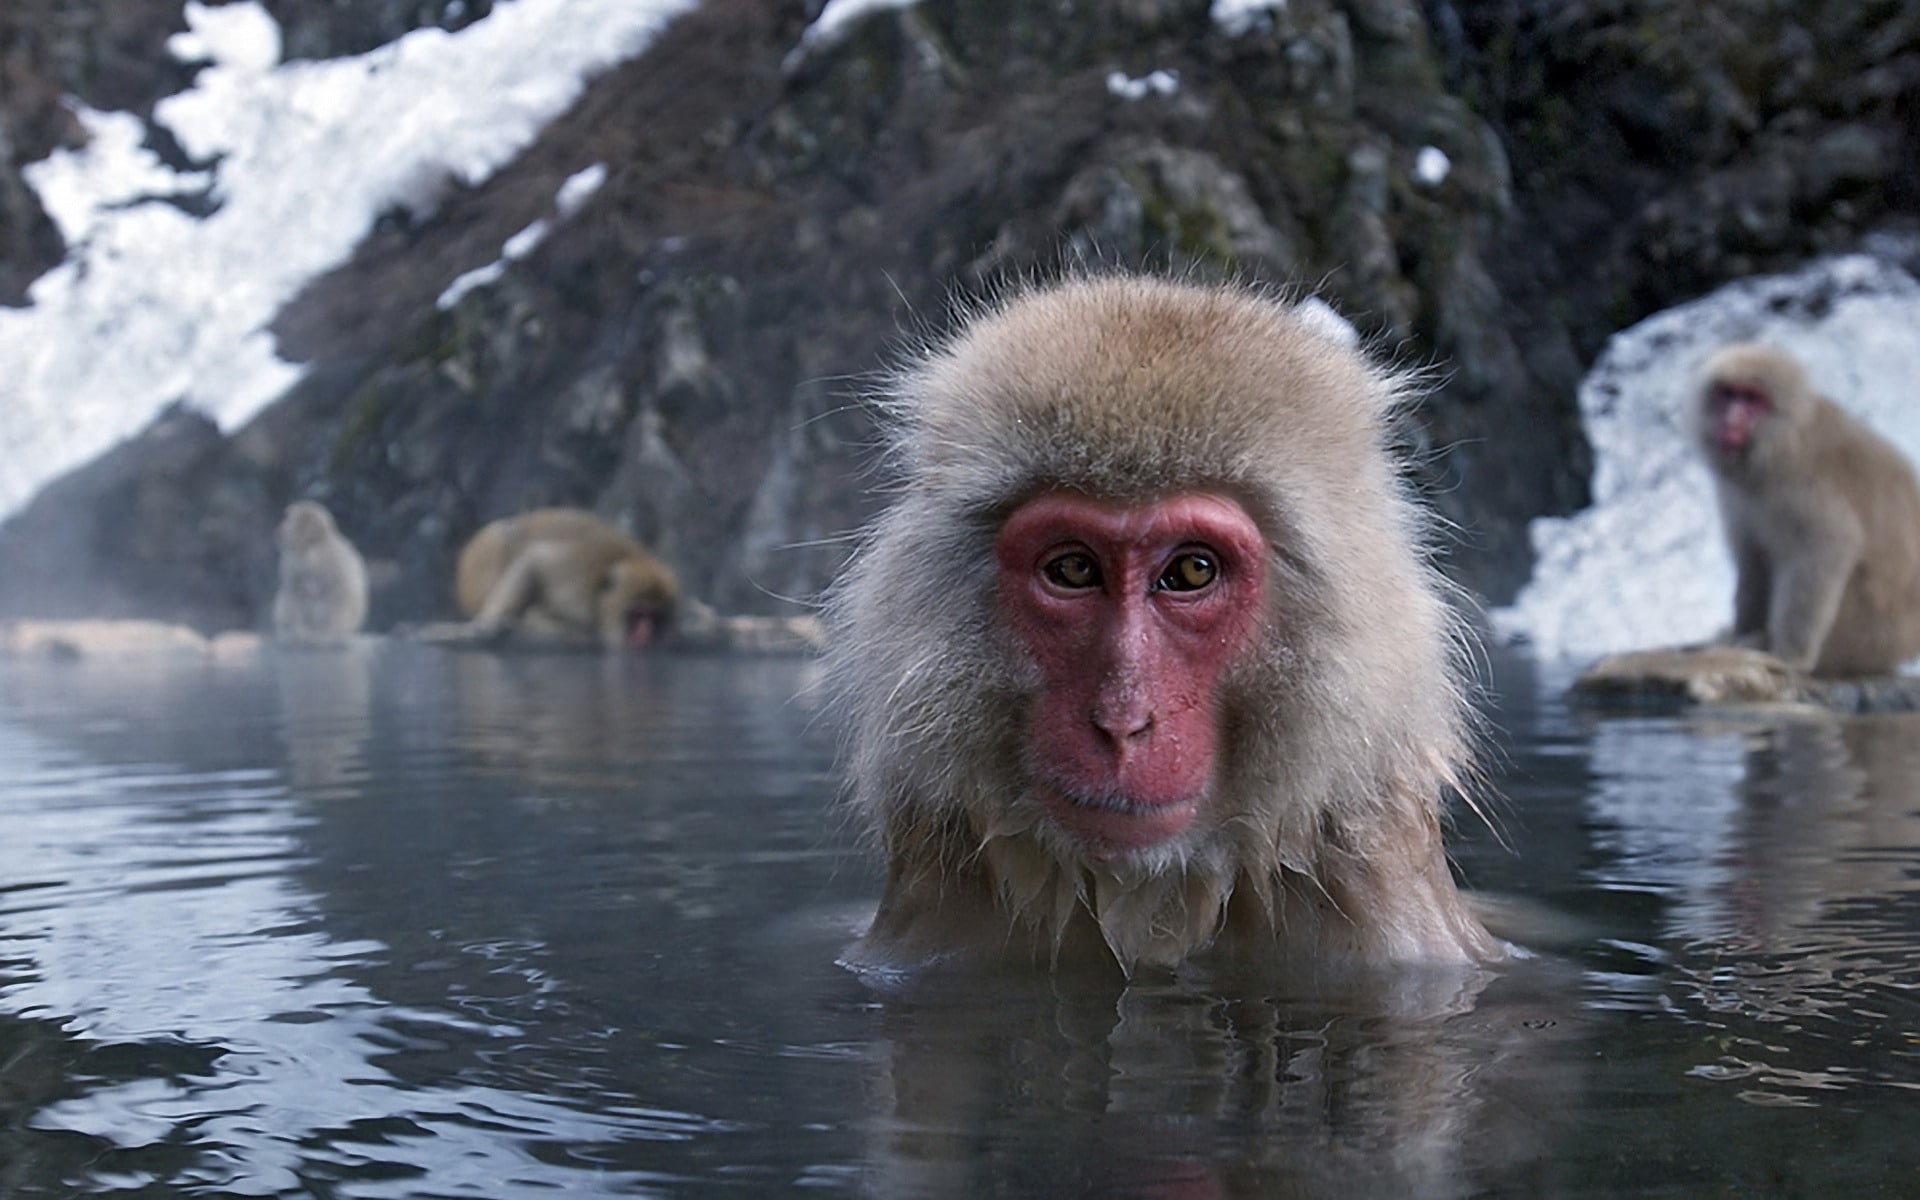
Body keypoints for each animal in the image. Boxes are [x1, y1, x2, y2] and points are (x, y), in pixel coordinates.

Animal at [452, 508, 680, 650]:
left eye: (656, 618)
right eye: (637, 614)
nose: (646, 636)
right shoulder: (578, 580)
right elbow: (535, 562)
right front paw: (491, 622)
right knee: (505, 533)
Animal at [1695, 344, 1920, 677]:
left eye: (1752, 399)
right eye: (1729, 394)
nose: (1732, 419)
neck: (1777, 442)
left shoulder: (1797, 484)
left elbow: (1826, 548)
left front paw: (1789, 655)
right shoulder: (1737, 492)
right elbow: (1752, 555)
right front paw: (1742, 630)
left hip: (1864, 636)